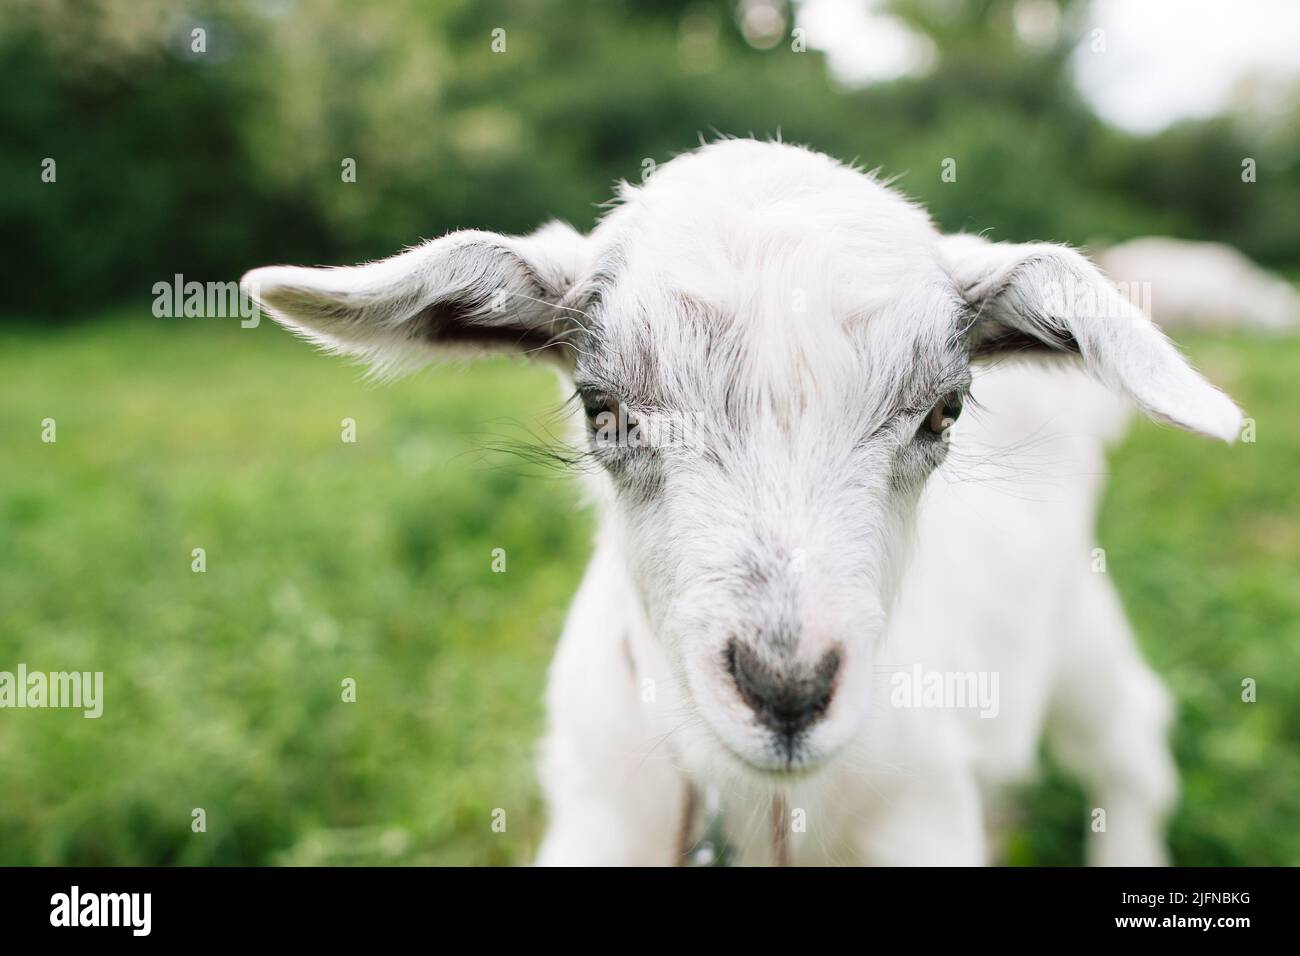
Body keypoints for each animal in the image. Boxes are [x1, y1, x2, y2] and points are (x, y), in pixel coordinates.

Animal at [242, 139, 1243, 865]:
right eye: (602, 409)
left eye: (943, 412)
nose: (787, 693)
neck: (756, 809)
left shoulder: (917, 822)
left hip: (1078, 629)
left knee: (1134, 747)